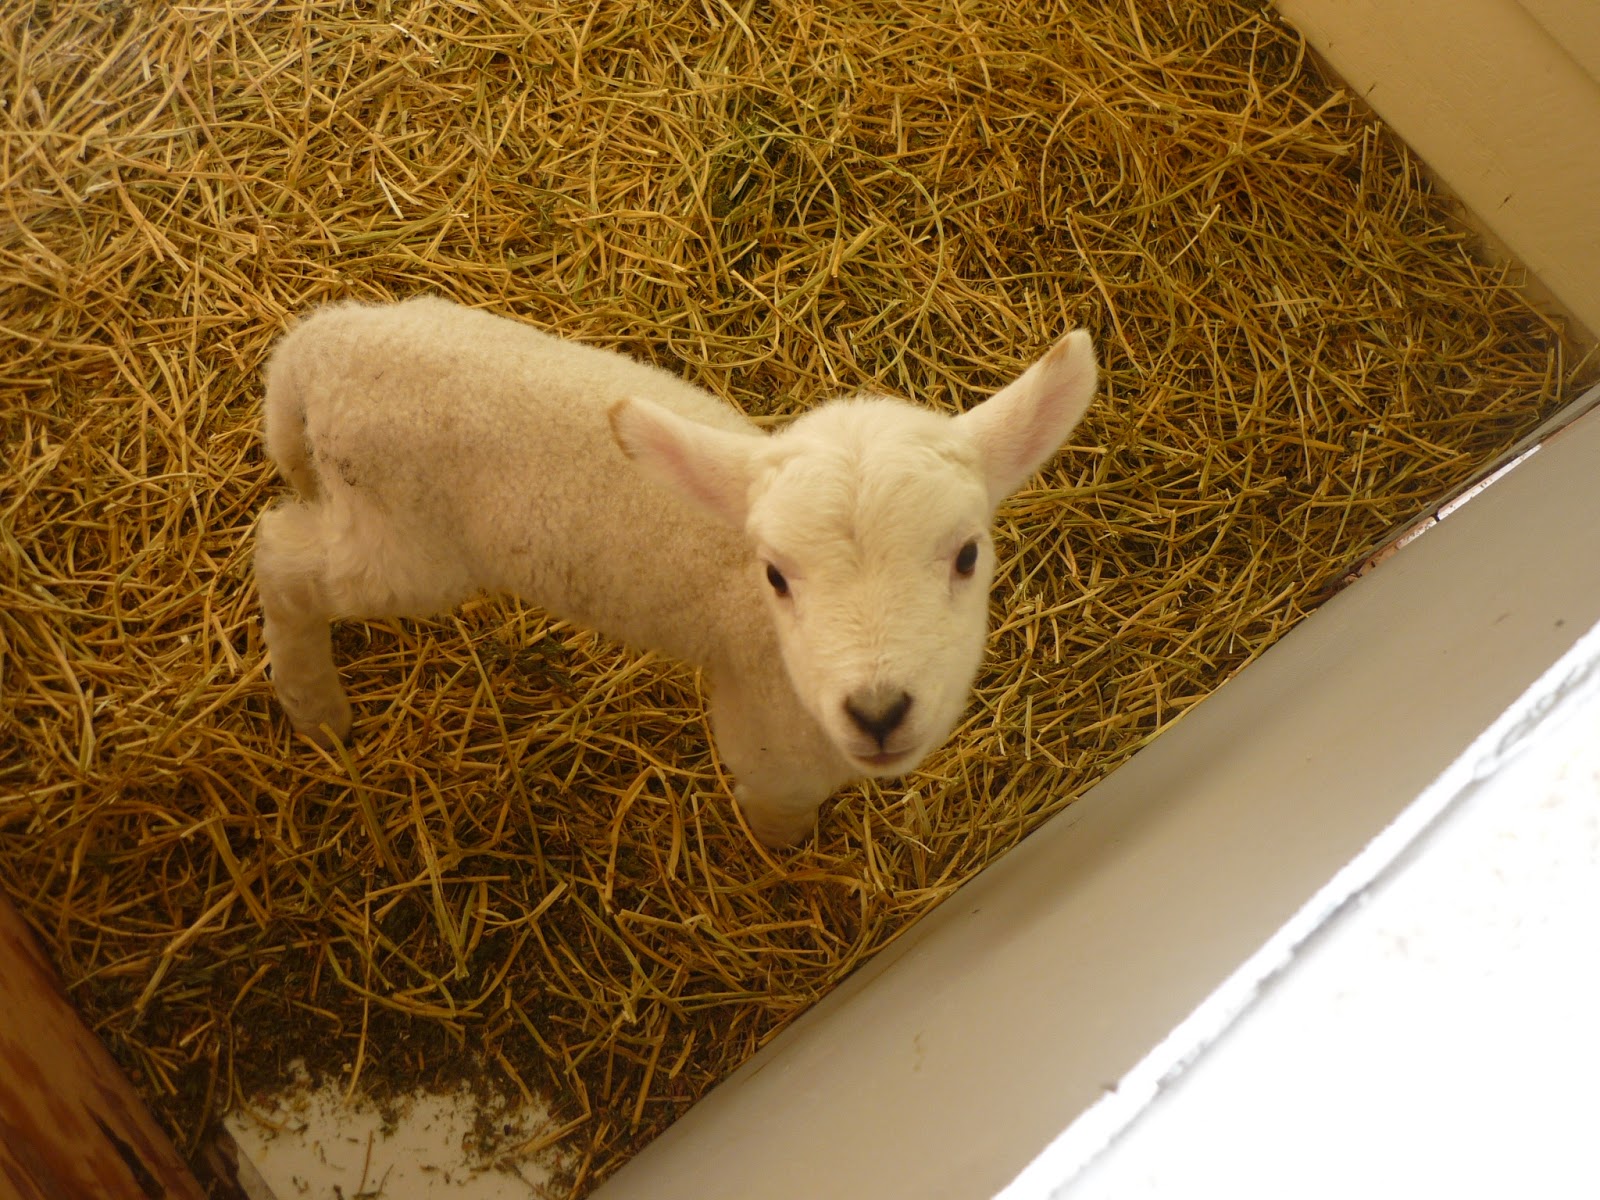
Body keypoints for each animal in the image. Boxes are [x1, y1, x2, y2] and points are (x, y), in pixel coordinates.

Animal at [255, 296, 1098, 846]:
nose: (879, 711)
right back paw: (314, 708)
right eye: (775, 576)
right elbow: (781, 816)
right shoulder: (770, 744)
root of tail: (313, 348)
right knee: (279, 556)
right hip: (402, 545)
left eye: (968, 554)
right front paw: (787, 860)